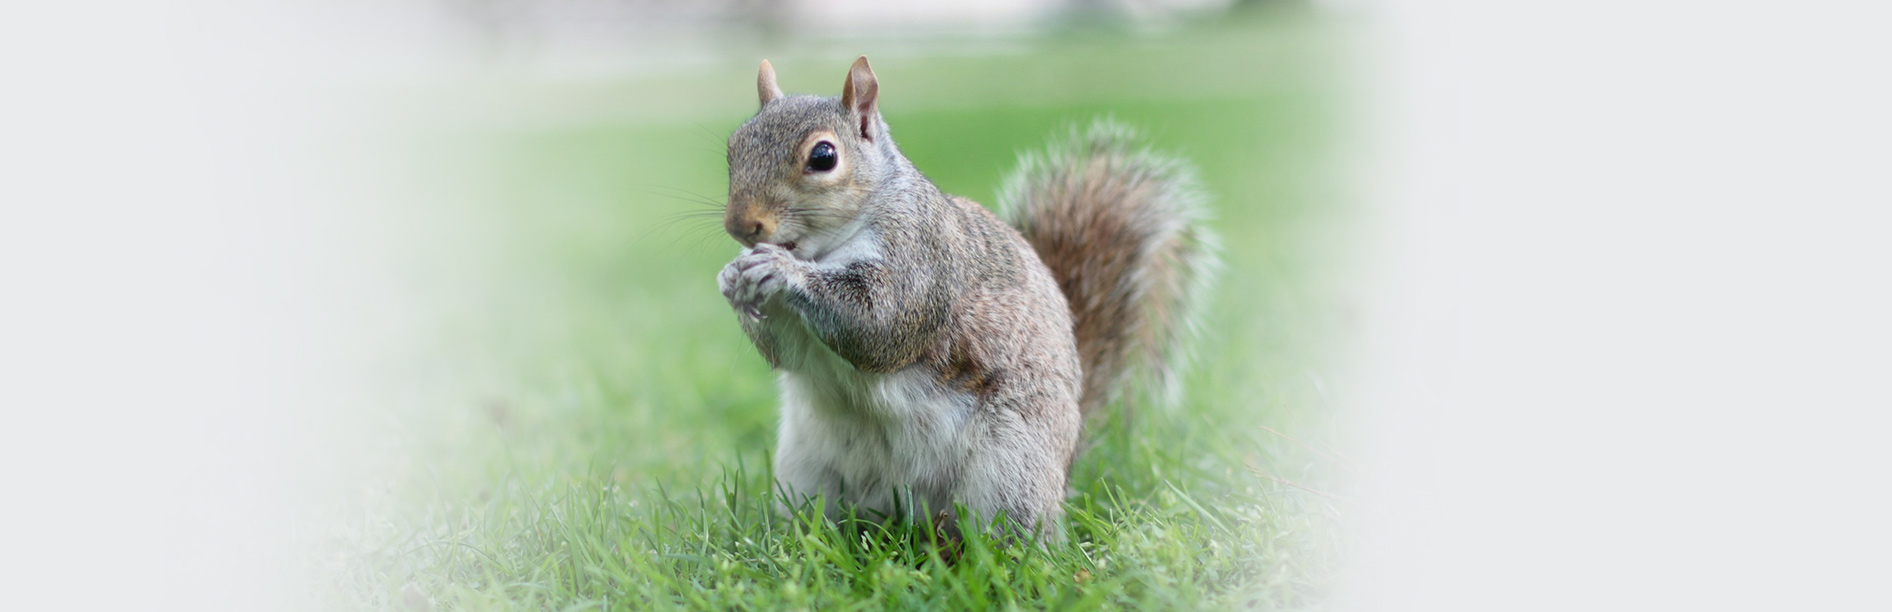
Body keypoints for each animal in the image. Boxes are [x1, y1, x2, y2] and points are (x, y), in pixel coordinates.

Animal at [716, 56, 1217, 542]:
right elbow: (785, 353)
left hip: (1011, 469)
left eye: (824, 156)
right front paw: (732, 278)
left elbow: (876, 326)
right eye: (733, 148)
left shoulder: (922, 263)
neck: (824, 248)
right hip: (806, 470)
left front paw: (783, 272)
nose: (740, 225)